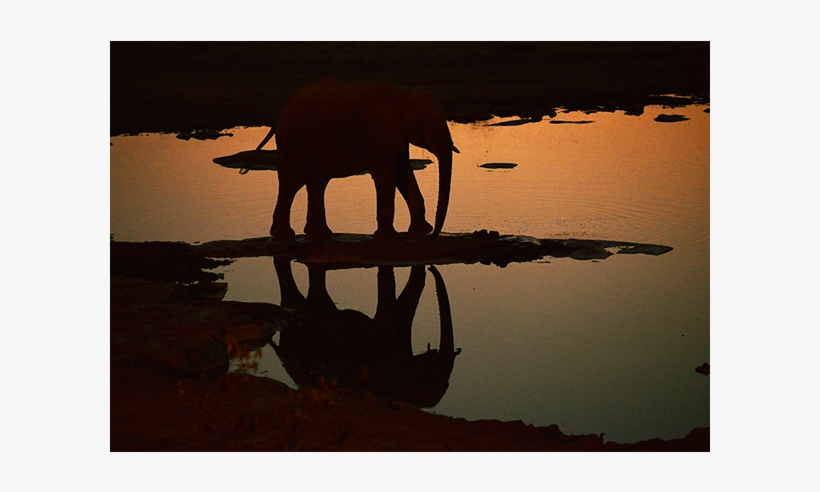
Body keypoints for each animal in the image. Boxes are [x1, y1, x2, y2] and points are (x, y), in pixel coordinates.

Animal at [253, 80, 460, 240]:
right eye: (420, 123)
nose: (434, 237)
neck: (402, 94)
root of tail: (282, 110)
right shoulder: (375, 133)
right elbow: (386, 176)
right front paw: (388, 238)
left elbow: (403, 173)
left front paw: (421, 232)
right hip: (293, 141)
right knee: (291, 183)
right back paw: (284, 236)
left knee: (317, 183)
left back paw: (320, 234)